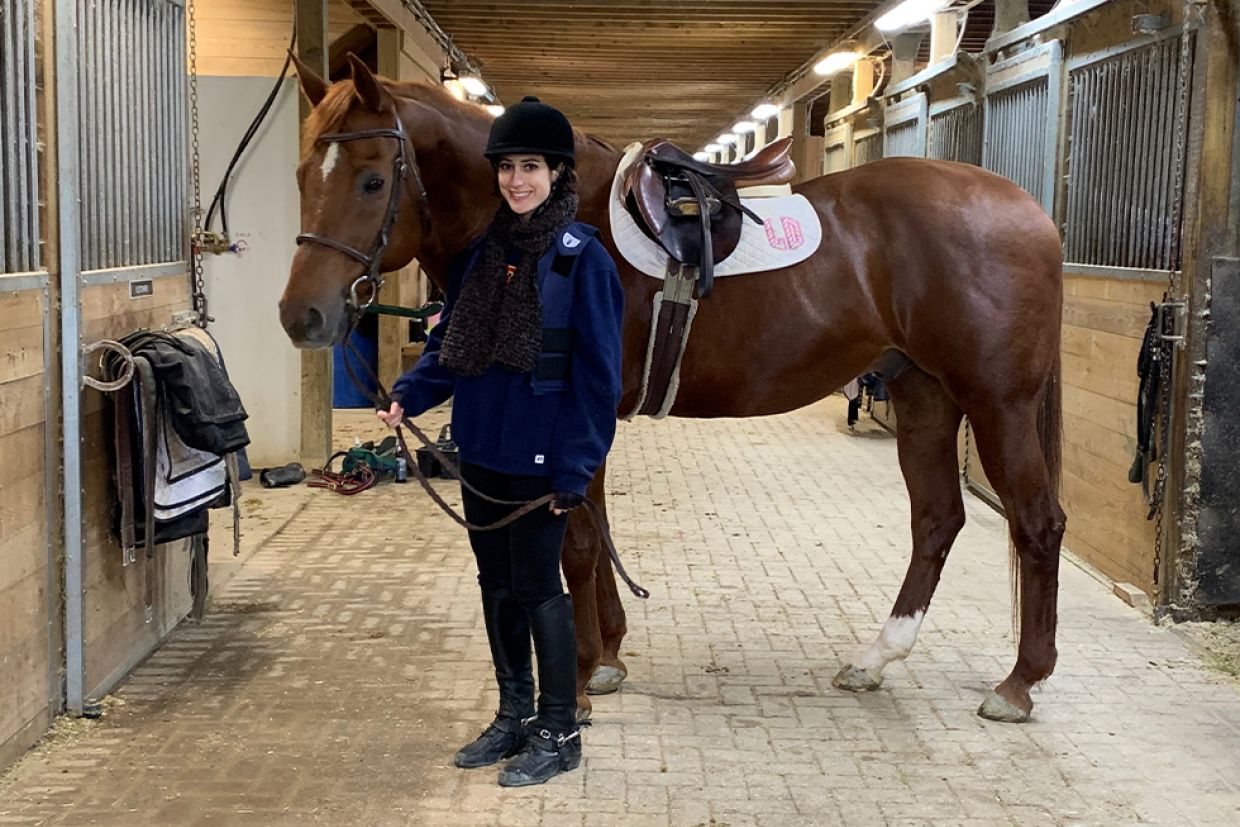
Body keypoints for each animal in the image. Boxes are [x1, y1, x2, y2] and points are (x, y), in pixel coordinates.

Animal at [279, 59, 1066, 724]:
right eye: (300, 175)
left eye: (372, 180)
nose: (301, 316)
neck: (557, 227)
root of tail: (1027, 208)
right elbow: (591, 530)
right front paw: (608, 657)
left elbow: (579, 544)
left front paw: (579, 680)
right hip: (924, 397)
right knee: (936, 520)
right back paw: (876, 658)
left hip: (997, 405)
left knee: (1036, 522)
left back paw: (1018, 683)